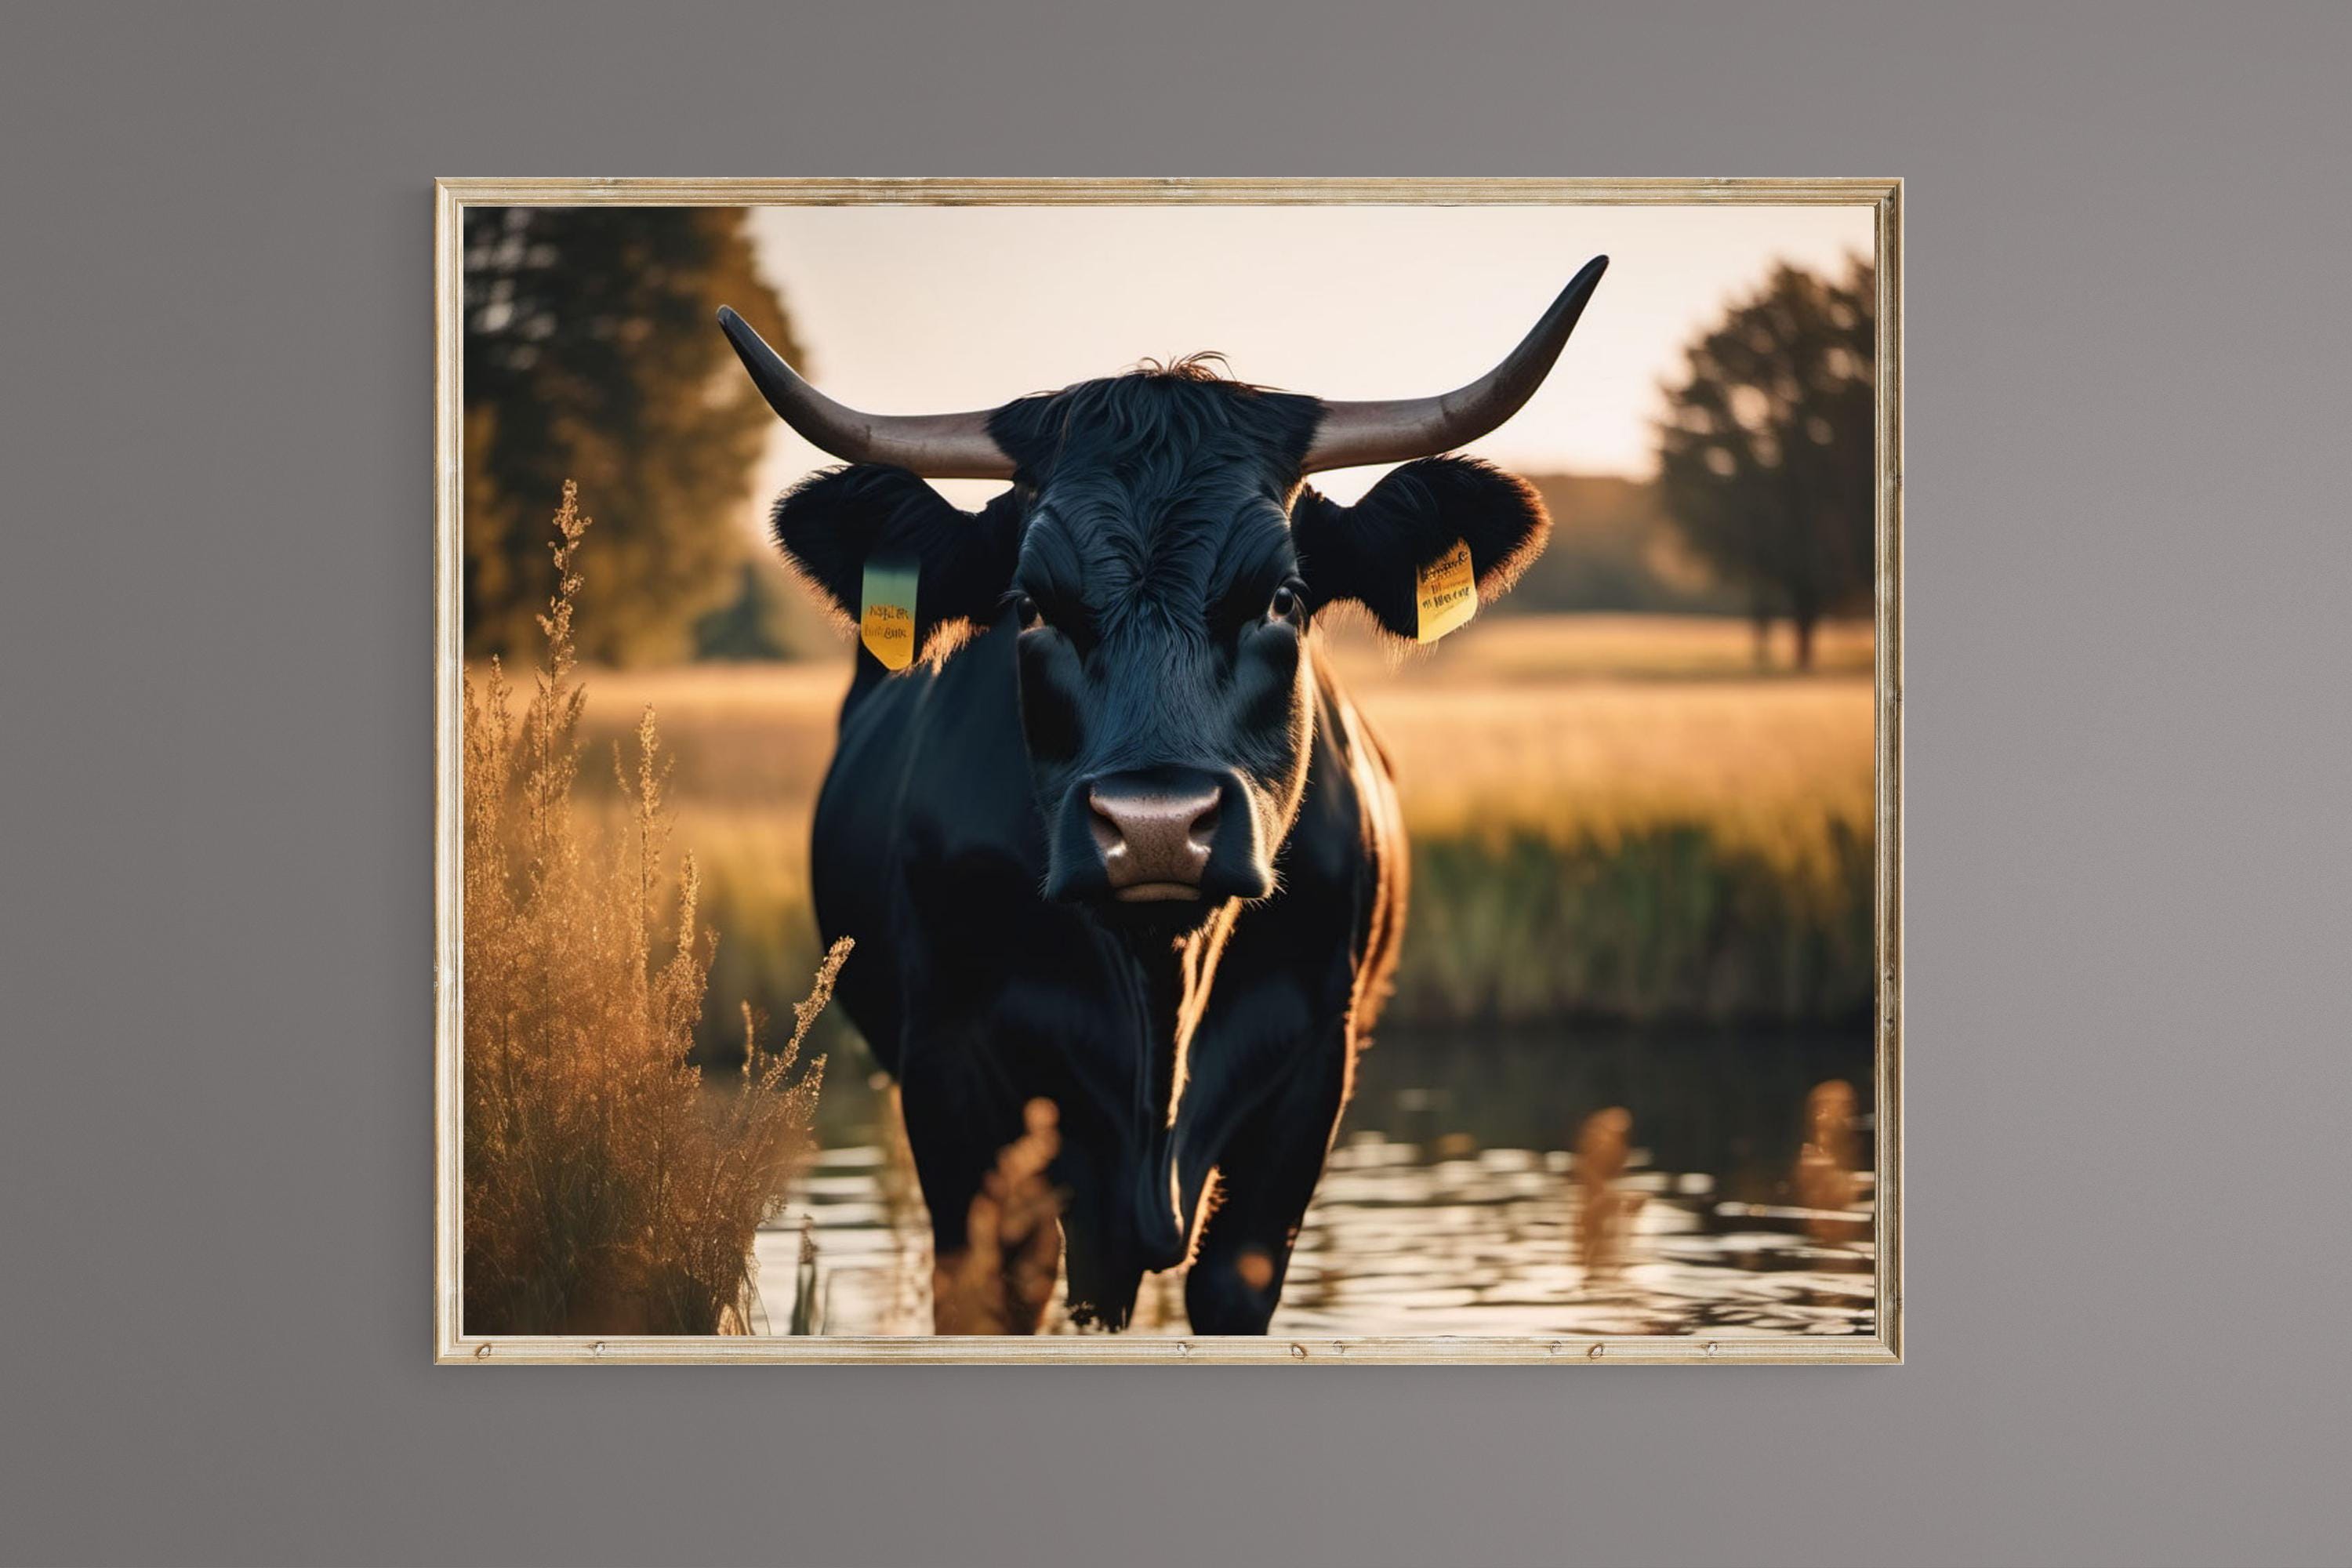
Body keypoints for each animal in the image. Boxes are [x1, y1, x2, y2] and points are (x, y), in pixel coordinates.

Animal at [717, 256, 1607, 1333]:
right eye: (1030, 605)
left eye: (1284, 597)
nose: (1153, 826)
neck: (1158, 985)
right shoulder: (949, 1078)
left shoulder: (1308, 1078)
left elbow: (1234, 1281)